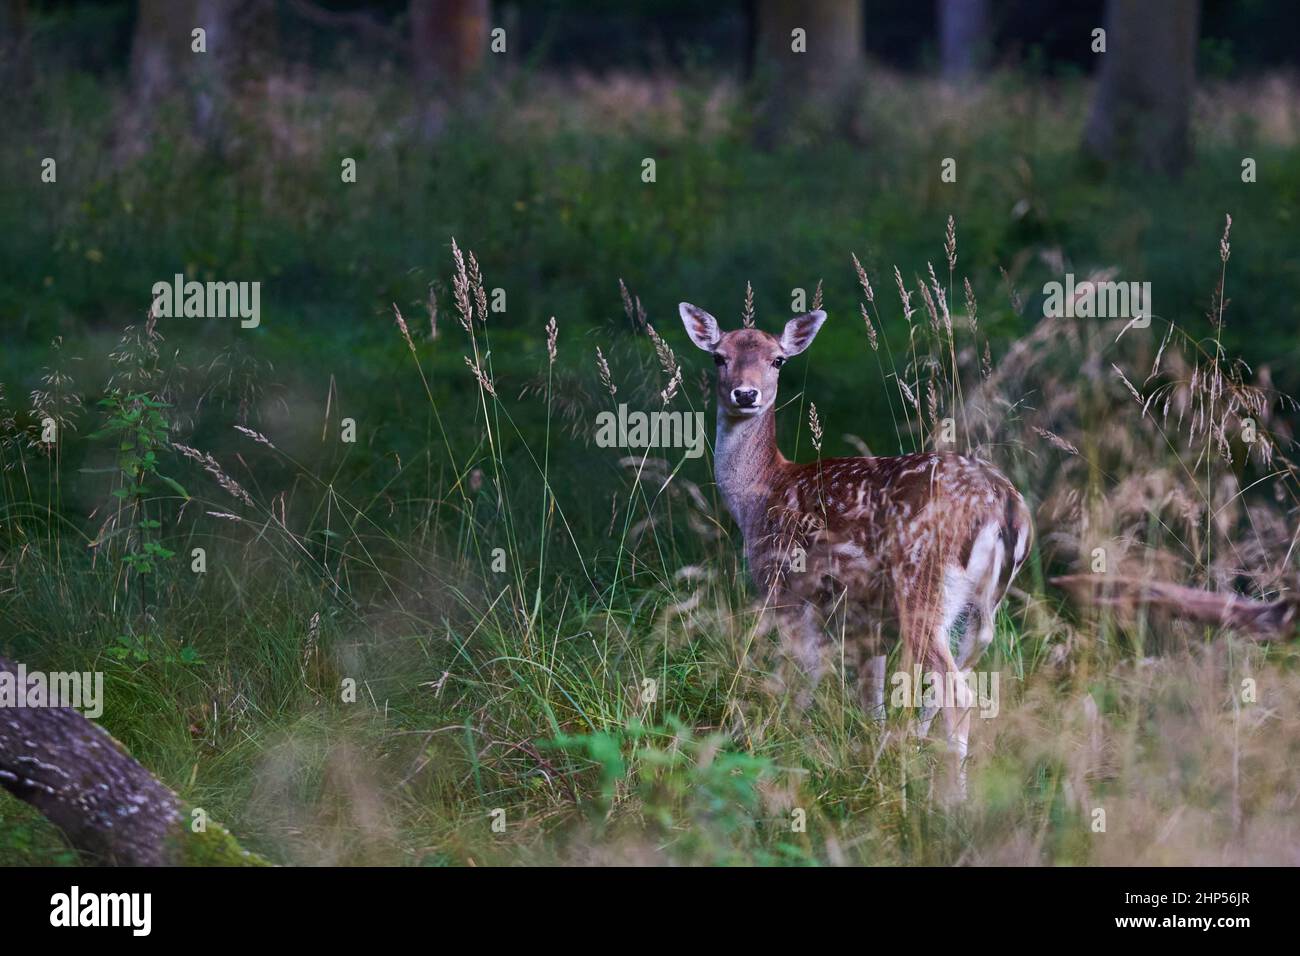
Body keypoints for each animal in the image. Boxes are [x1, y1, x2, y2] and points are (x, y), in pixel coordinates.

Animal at [679, 302, 1033, 797]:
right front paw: (873, 751)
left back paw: (951, 799)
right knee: (959, 673)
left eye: (777, 360)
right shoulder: (867, 616)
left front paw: (783, 743)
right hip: (984, 603)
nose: (745, 394)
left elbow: (803, 673)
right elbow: (873, 695)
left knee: (956, 691)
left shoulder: (782, 584)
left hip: (922, 581)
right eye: (719, 357)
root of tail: (1003, 504)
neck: (759, 495)